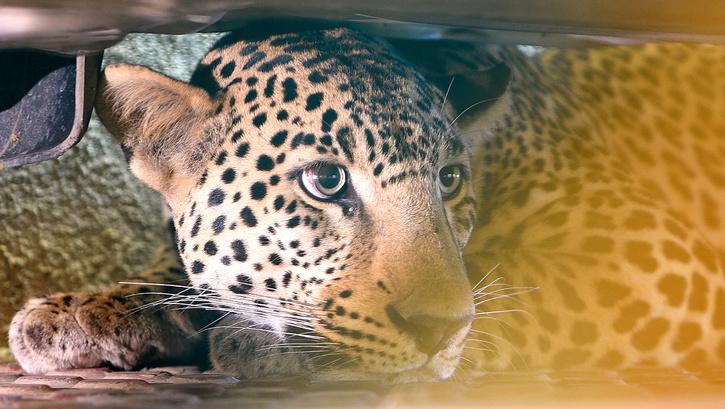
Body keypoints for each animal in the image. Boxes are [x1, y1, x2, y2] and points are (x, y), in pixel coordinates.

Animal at [8, 26, 725, 382]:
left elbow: (526, 290)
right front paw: (76, 312)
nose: (437, 328)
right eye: (326, 180)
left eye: (448, 180)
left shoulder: (660, 255)